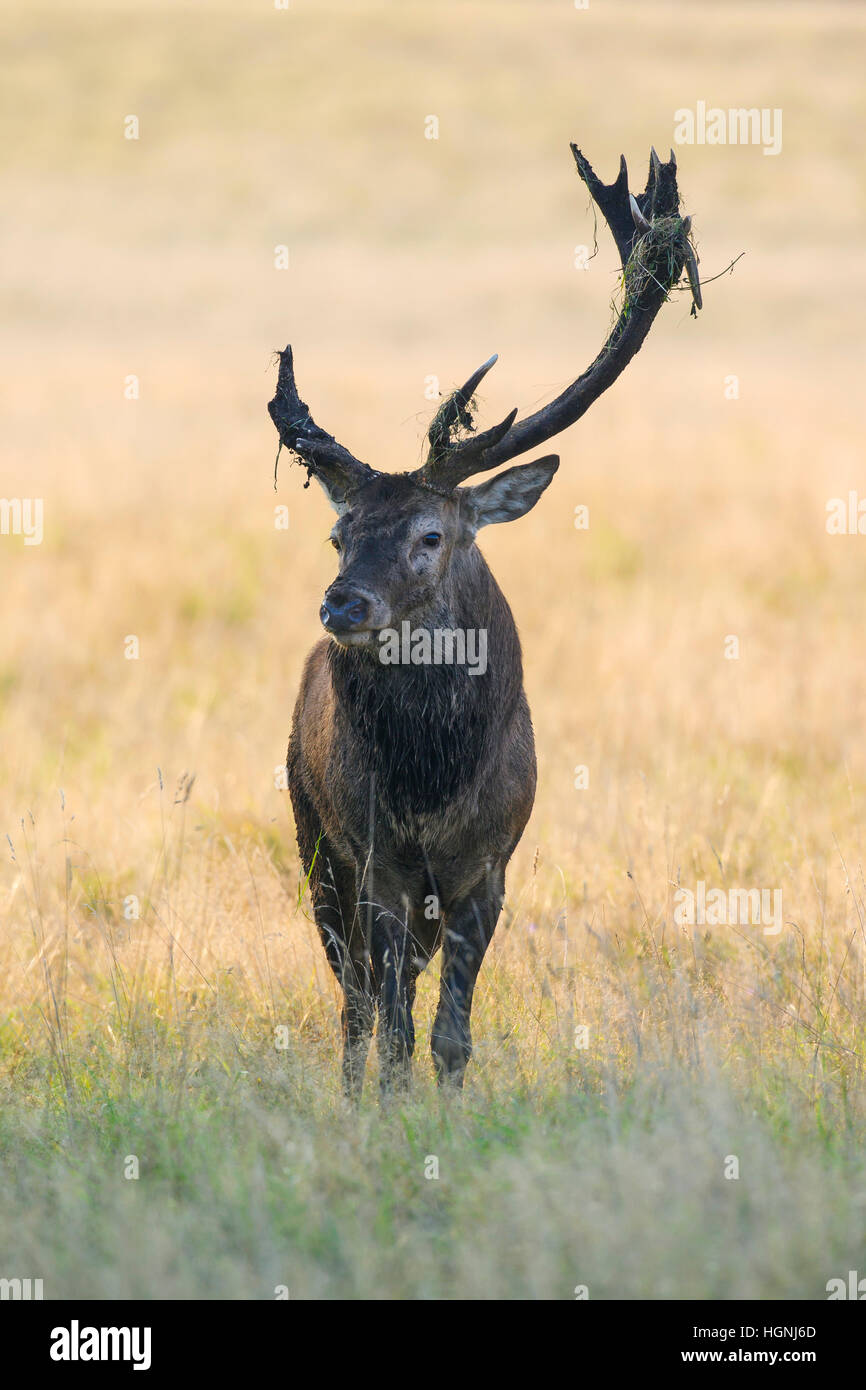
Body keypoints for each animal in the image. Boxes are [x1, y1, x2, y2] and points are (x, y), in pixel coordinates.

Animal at [268, 142, 700, 1098]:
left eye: (431, 535)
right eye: (338, 533)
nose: (341, 602)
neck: (435, 784)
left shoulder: (492, 865)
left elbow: (451, 1034)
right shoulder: (376, 863)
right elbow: (394, 1026)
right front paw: (390, 1114)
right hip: (312, 841)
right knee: (353, 1004)